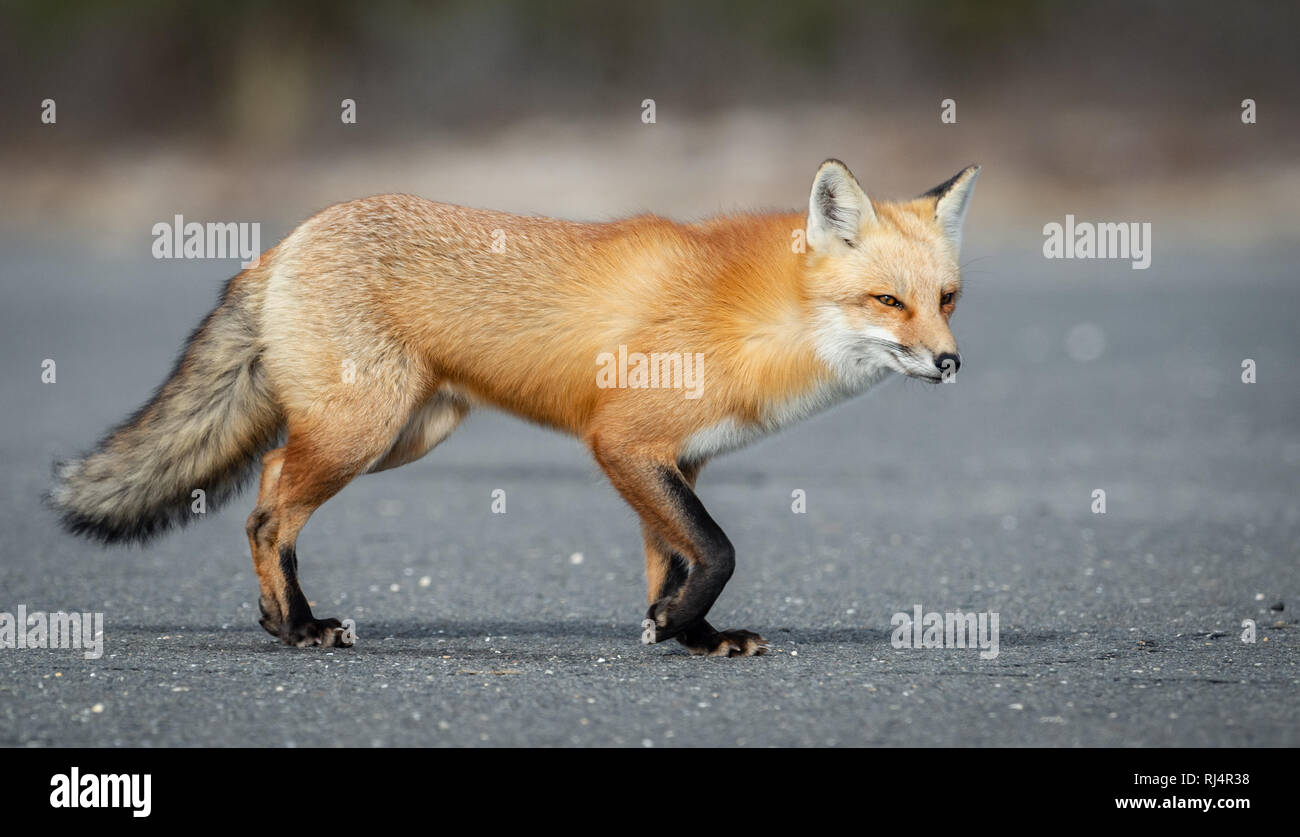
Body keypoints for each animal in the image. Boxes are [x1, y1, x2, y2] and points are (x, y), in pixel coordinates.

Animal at [49, 159, 978, 657]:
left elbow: (674, 559)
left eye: (947, 299)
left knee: (271, 477)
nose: (950, 362)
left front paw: (688, 634)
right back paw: (300, 626)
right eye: (888, 300)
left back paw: (277, 618)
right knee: (268, 507)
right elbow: (717, 550)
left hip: (404, 432)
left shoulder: (674, 459)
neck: (761, 319)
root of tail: (288, 239)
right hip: (362, 431)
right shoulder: (623, 441)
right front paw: (677, 624)